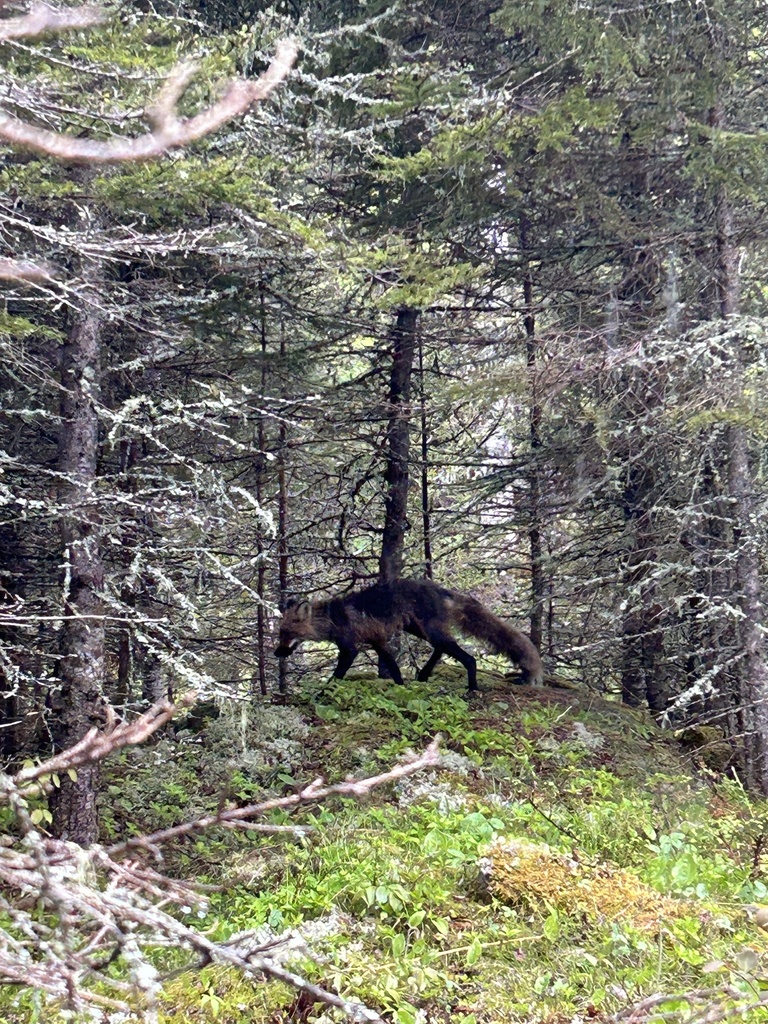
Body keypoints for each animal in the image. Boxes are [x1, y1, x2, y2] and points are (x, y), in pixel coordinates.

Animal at [274, 578, 544, 691]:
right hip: (419, 629)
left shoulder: (350, 648)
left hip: (429, 630)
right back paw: (423, 675)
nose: (277, 653)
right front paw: (402, 689)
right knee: (442, 649)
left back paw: (472, 687)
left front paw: (321, 694)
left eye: (286, 633)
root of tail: (440, 589)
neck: (333, 619)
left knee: (469, 658)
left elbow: (336, 676)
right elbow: (394, 669)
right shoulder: (378, 641)